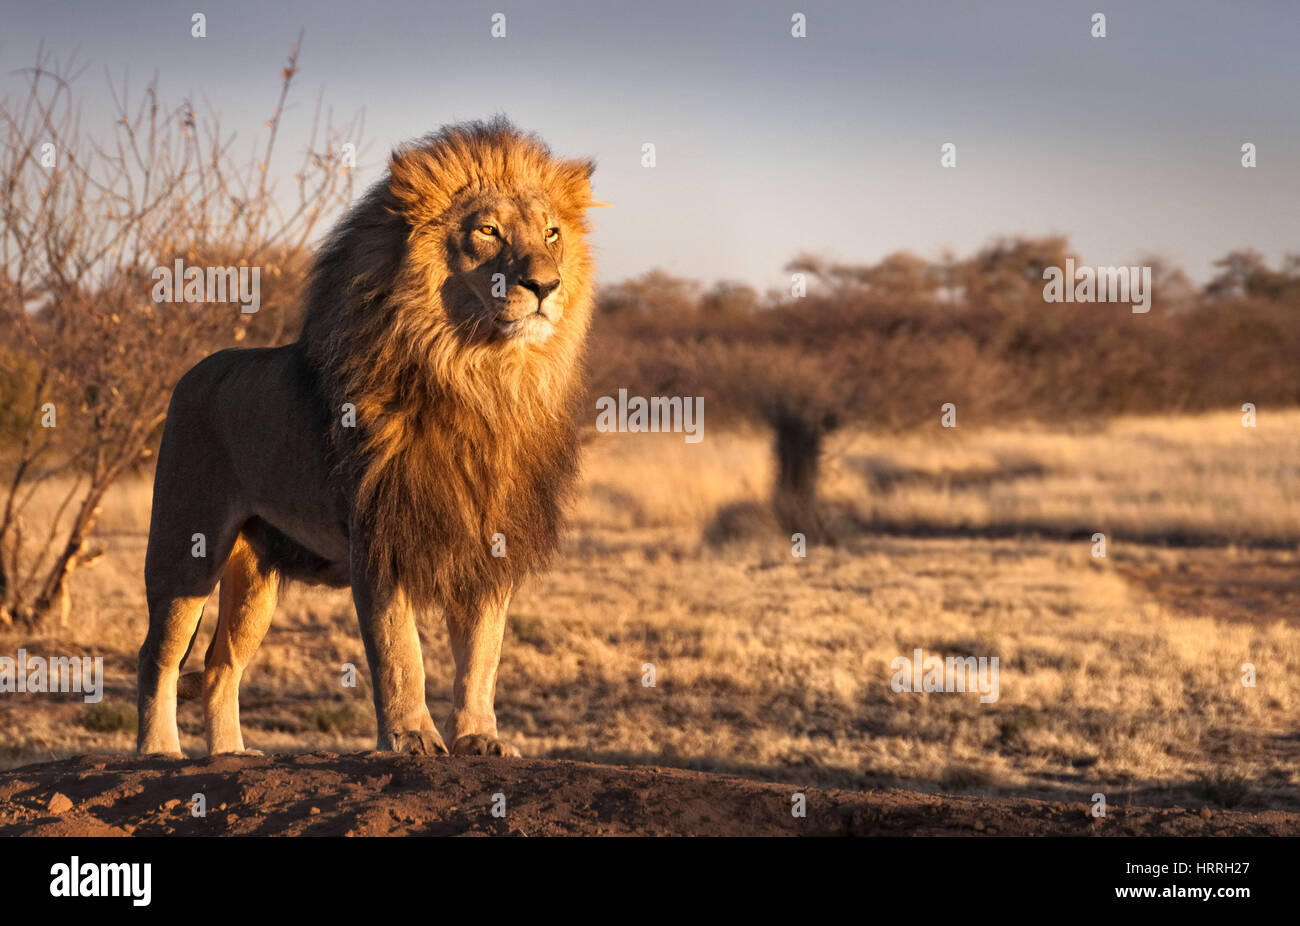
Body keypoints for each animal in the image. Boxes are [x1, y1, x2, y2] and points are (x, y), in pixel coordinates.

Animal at [136, 118, 599, 757]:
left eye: (552, 233)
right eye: (488, 230)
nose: (546, 285)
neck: (480, 378)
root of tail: (193, 372)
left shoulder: (489, 540)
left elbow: (482, 654)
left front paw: (479, 738)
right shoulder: (379, 535)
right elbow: (399, 652)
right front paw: (411, 738)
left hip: (256, 574)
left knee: (220, 663)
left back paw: (230, 754)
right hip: (186, 546)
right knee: (158, 653)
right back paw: (159, 750)